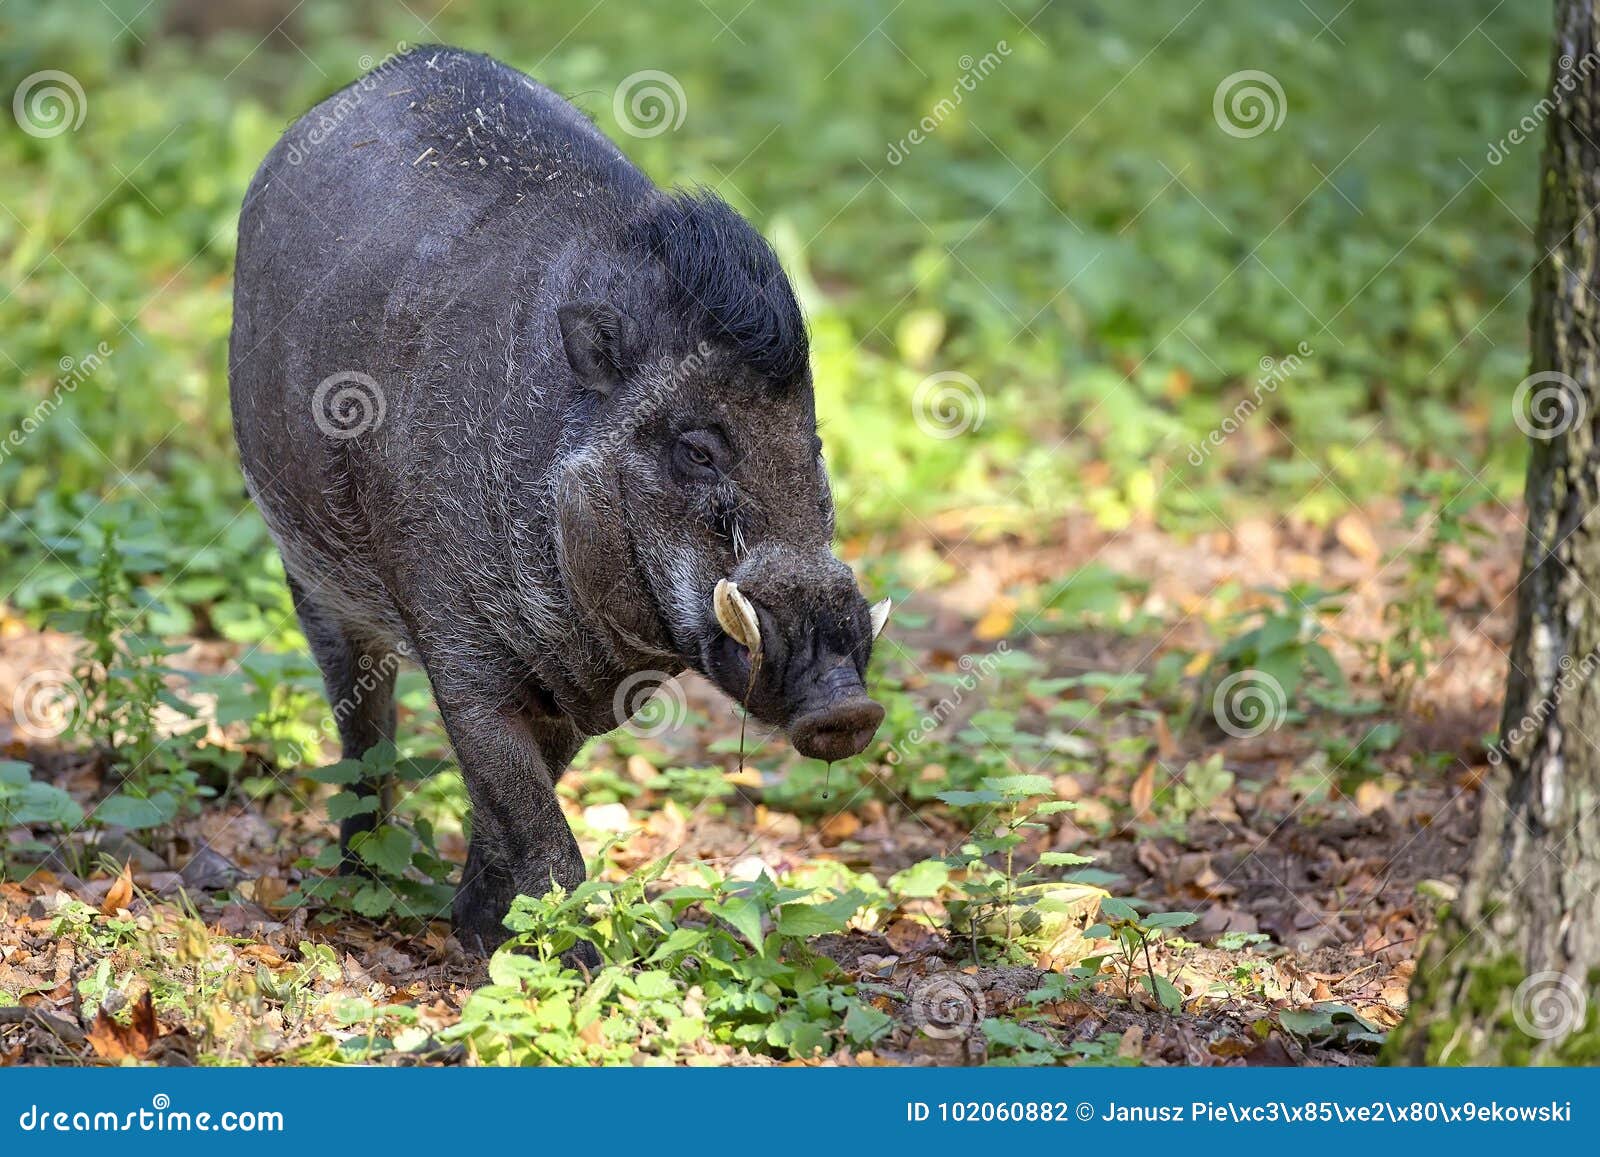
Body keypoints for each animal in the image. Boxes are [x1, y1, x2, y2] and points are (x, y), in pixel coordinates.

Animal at [228, 46, 890, 961]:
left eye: (815, 446)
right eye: (696, 449)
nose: (848, 707)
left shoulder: (584, 688)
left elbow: (518, 799)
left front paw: (482, 932)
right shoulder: (459, 651)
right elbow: (536, 823)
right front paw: (565, 959)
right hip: (307, 571)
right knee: (363, 723)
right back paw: (358, 877)